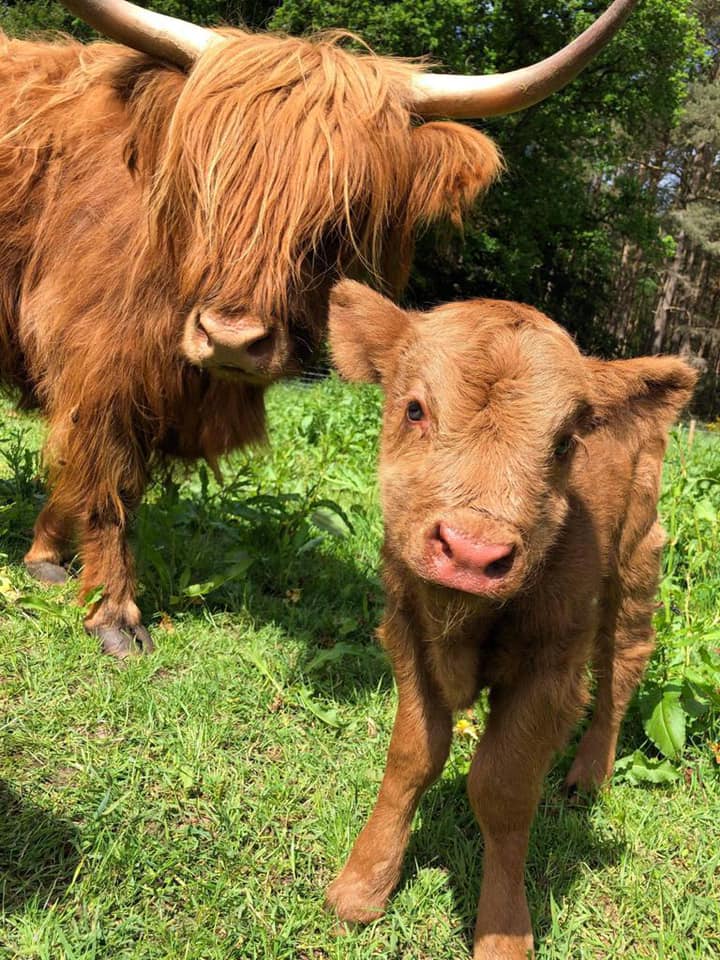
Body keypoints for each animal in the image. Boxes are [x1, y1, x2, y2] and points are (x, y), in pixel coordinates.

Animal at [0, 0, 637, 655]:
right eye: (205, 186)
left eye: (339, 217)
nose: (231, 341)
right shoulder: (99, 362)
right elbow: (107, 484)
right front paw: (113, 613)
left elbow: (82, 470)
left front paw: (45, 557)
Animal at [325, 281, 696, 959]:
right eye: (414, 409)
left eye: (565, 442)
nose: (472, 551)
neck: (462, 619)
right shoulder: (407, 636)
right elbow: (413, 757)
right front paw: (361, 887)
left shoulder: (550, 671)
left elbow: (500, 787)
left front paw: (502, 933)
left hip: (636, 560)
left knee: (623, 661)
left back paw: (587, 777)